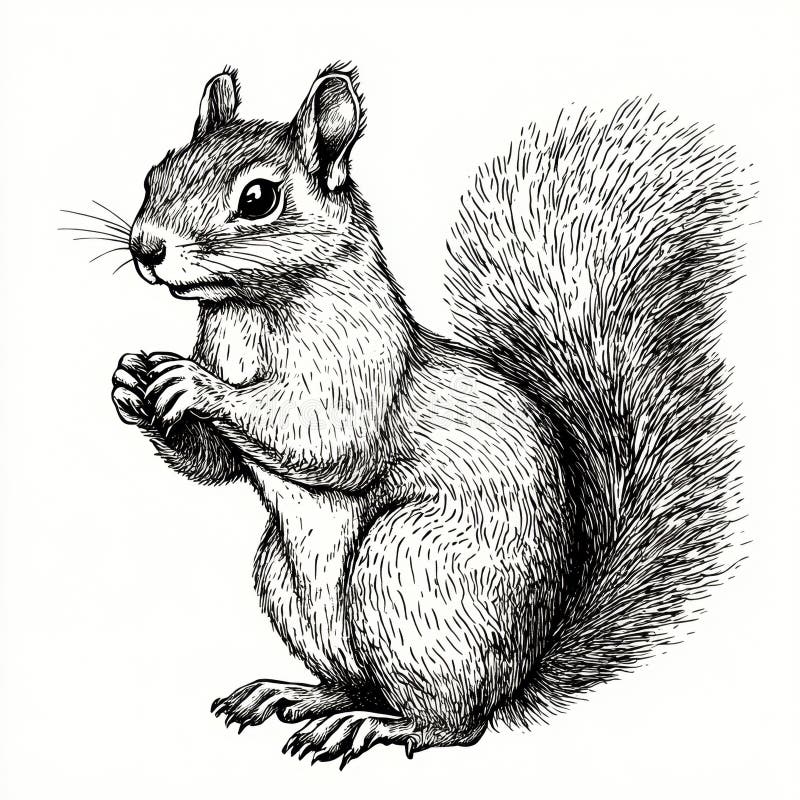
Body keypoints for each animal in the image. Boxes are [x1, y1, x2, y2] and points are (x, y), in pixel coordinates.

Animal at [109, 64, 747, 766]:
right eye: (154, 174)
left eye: (258, 199)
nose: (146, 249)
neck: (246, 311)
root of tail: (525, 666)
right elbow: (216, 465)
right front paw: (132, 385)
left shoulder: (358, 369)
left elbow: (323, 438)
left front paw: (192, 384)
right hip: (285, 581)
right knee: (355, 680)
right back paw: (297, 696)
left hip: (405, 570)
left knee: (454, 721)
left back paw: (379, 726)